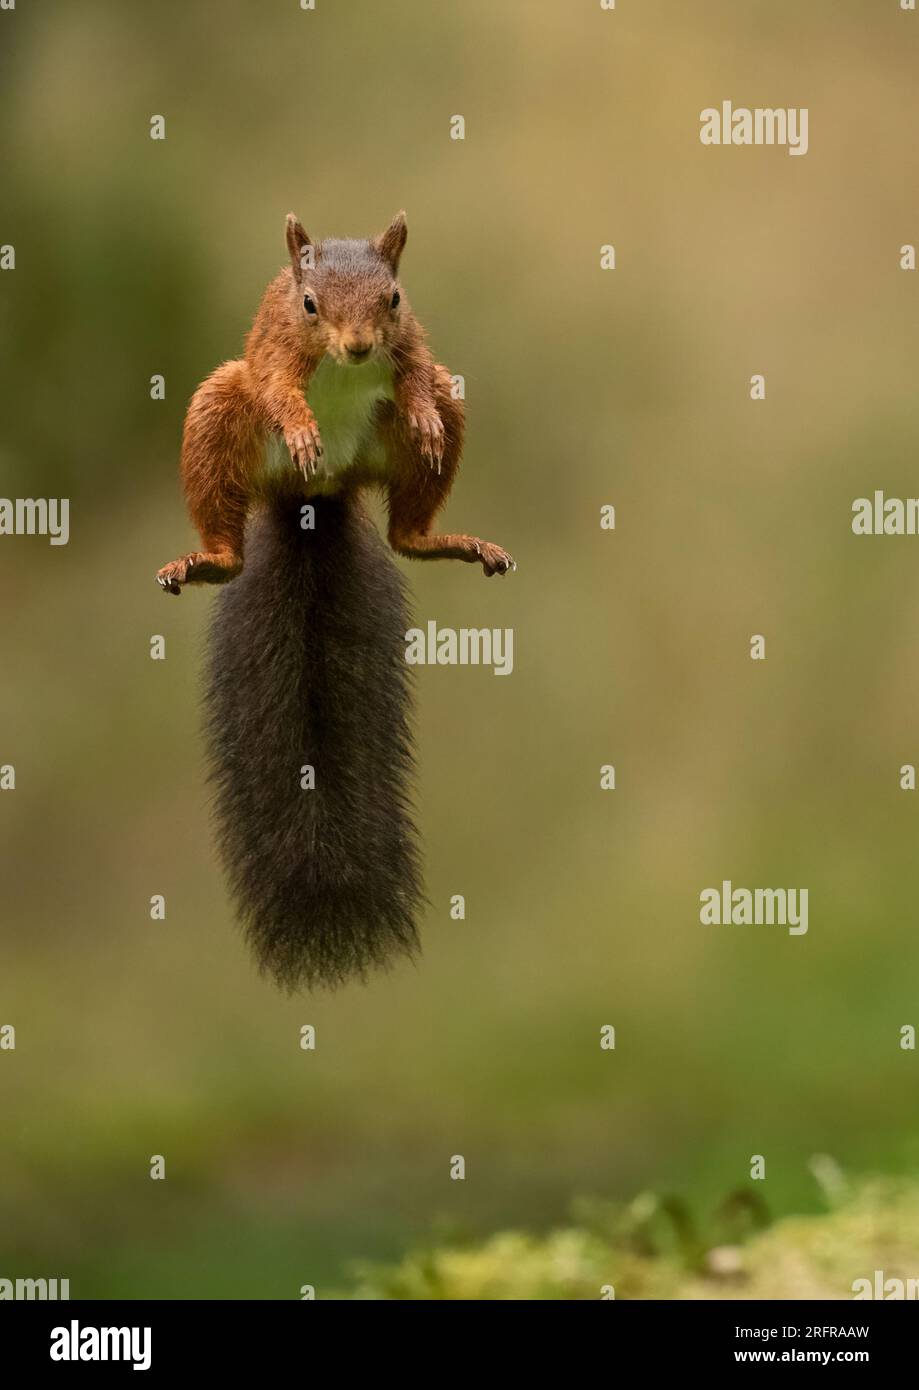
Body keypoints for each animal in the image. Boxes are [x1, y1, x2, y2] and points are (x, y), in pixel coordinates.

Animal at [155, 211, 511, 989]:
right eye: (310, 305)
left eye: (395, 298)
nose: (357, 348)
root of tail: (314, 495)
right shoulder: (273, 353)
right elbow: (279, 388)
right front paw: (299, 425)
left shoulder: (413, 345)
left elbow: (414, 372)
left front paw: (416, 409)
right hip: (218, 410)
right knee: (233, 535)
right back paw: (209, 557)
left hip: (437, 415)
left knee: (408, 530)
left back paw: (448, 535)